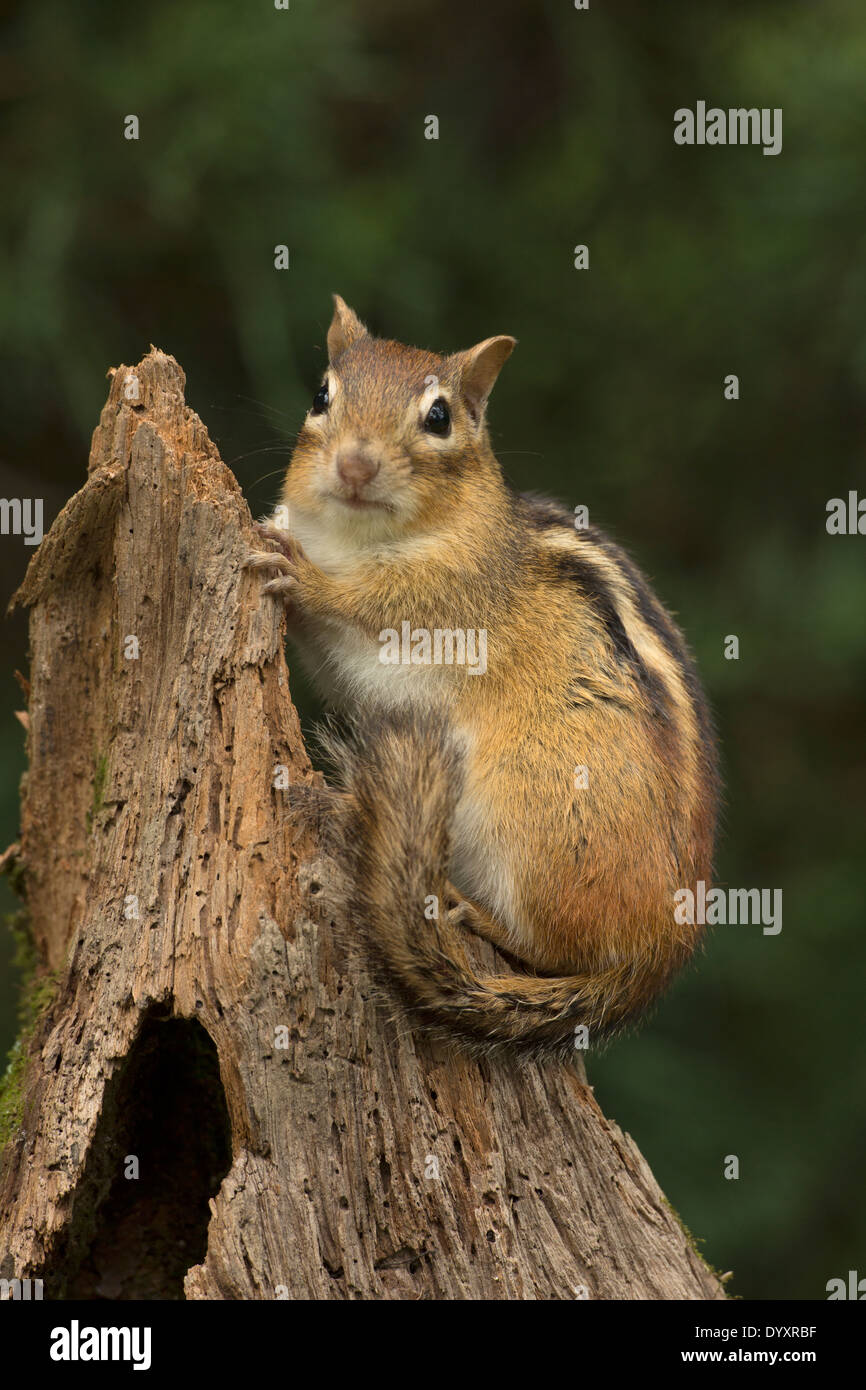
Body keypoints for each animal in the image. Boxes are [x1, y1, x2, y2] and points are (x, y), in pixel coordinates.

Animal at [246, 295, 719, 1059]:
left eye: (439, 417)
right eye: (321, 395)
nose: (355, 464)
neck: (354, 537)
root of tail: (658, 960)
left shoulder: (444, 600)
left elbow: (366, 603)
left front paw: (306, 577)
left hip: (532, 815)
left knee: (556, 951)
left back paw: (477, 913)